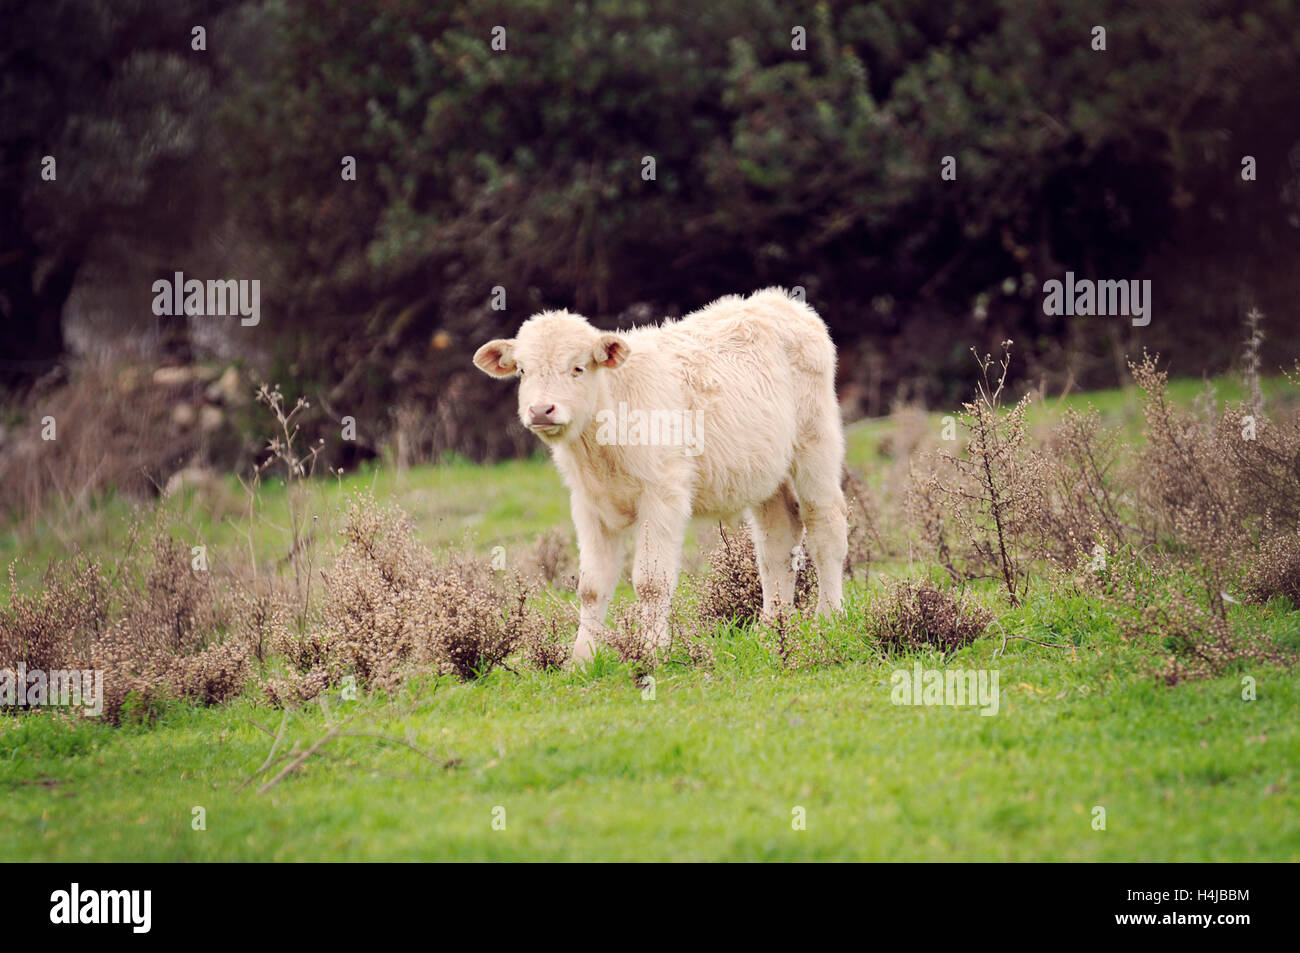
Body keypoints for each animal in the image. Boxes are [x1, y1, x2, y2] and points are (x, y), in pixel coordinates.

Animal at [473, 288, 848, 661]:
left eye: (578, 368)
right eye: (523, 370)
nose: (541, 410)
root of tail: (780, 300)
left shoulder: (663, 493)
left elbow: (650, 581)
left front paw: (653, 648)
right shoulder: (588, 503)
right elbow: (591, 586)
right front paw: (582, 658)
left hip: (816, 444)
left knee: (825, 525)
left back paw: (828, 617)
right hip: (766, 473)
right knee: (777, 540)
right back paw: (772, 627)